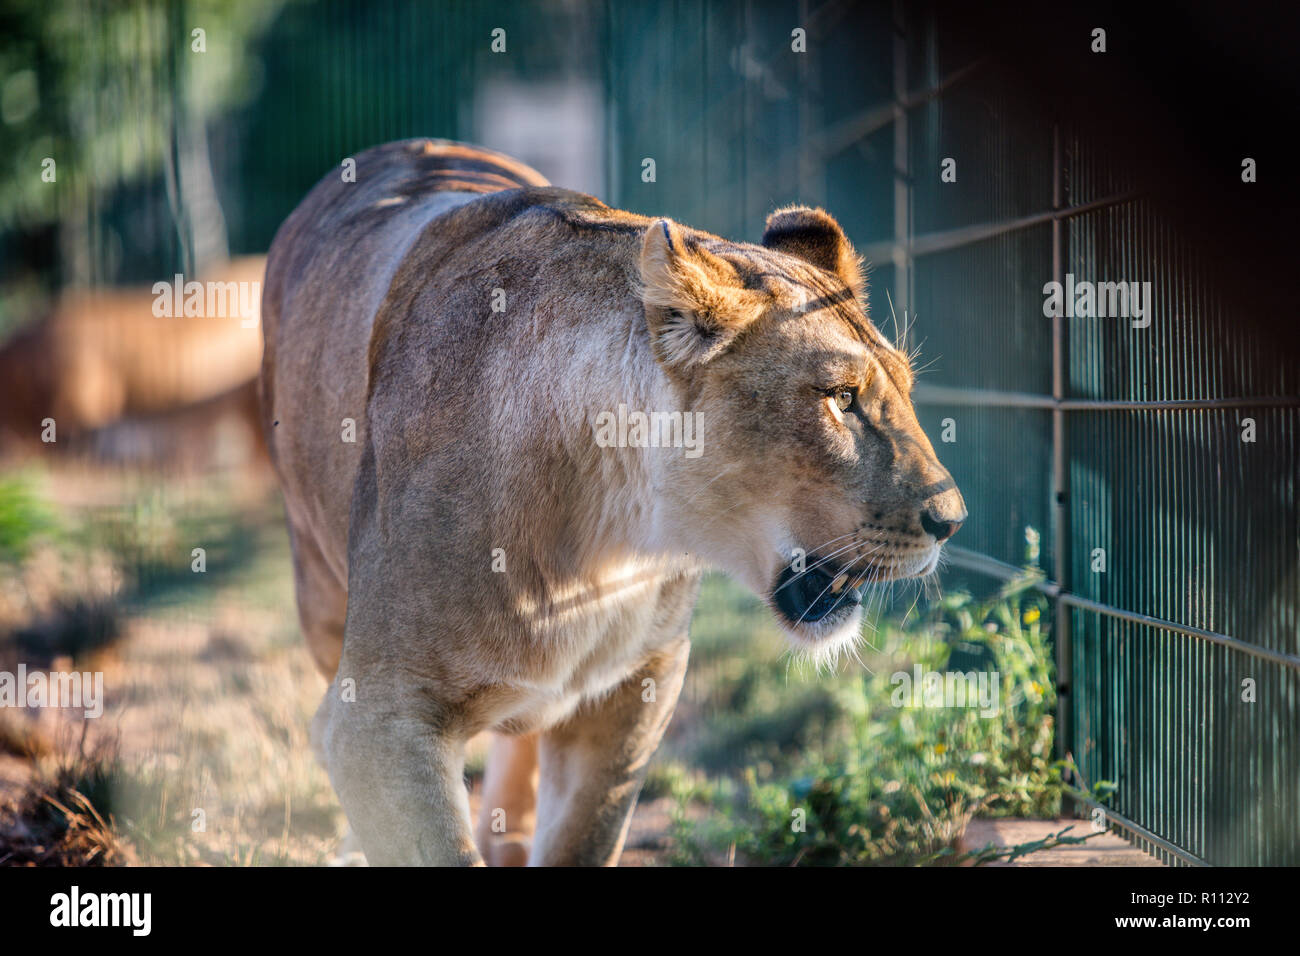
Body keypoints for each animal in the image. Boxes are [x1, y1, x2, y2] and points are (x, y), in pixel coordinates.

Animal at [260, 139, 966, 866]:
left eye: (902, 389)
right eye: (841, 398)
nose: (952, 521)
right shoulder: (380, 719)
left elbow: (582, 838)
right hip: (319, 592)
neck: (606, 542)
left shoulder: (639, 686)